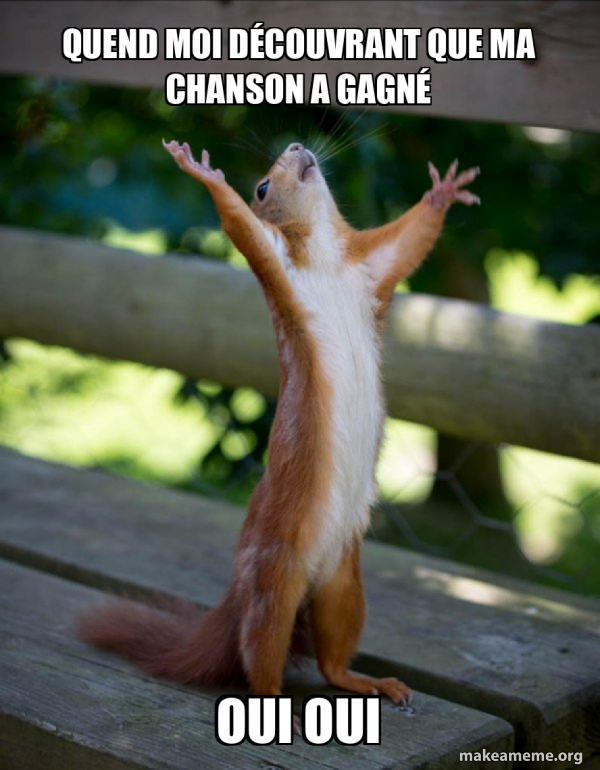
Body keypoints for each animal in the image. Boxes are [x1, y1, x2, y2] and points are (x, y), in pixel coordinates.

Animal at [77, 139, 479, 727]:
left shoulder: (371, 267)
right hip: (274, 584)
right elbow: (240, 226)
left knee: (331, 661)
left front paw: (443, 192)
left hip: (343, 586)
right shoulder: (277, 265)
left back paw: (369, 681)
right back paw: (278, 707)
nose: (296, 146)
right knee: (259, 656)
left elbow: (409, 240)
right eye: (262, 187)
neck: (327, 258)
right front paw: (204, 173)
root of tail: (239, 595)